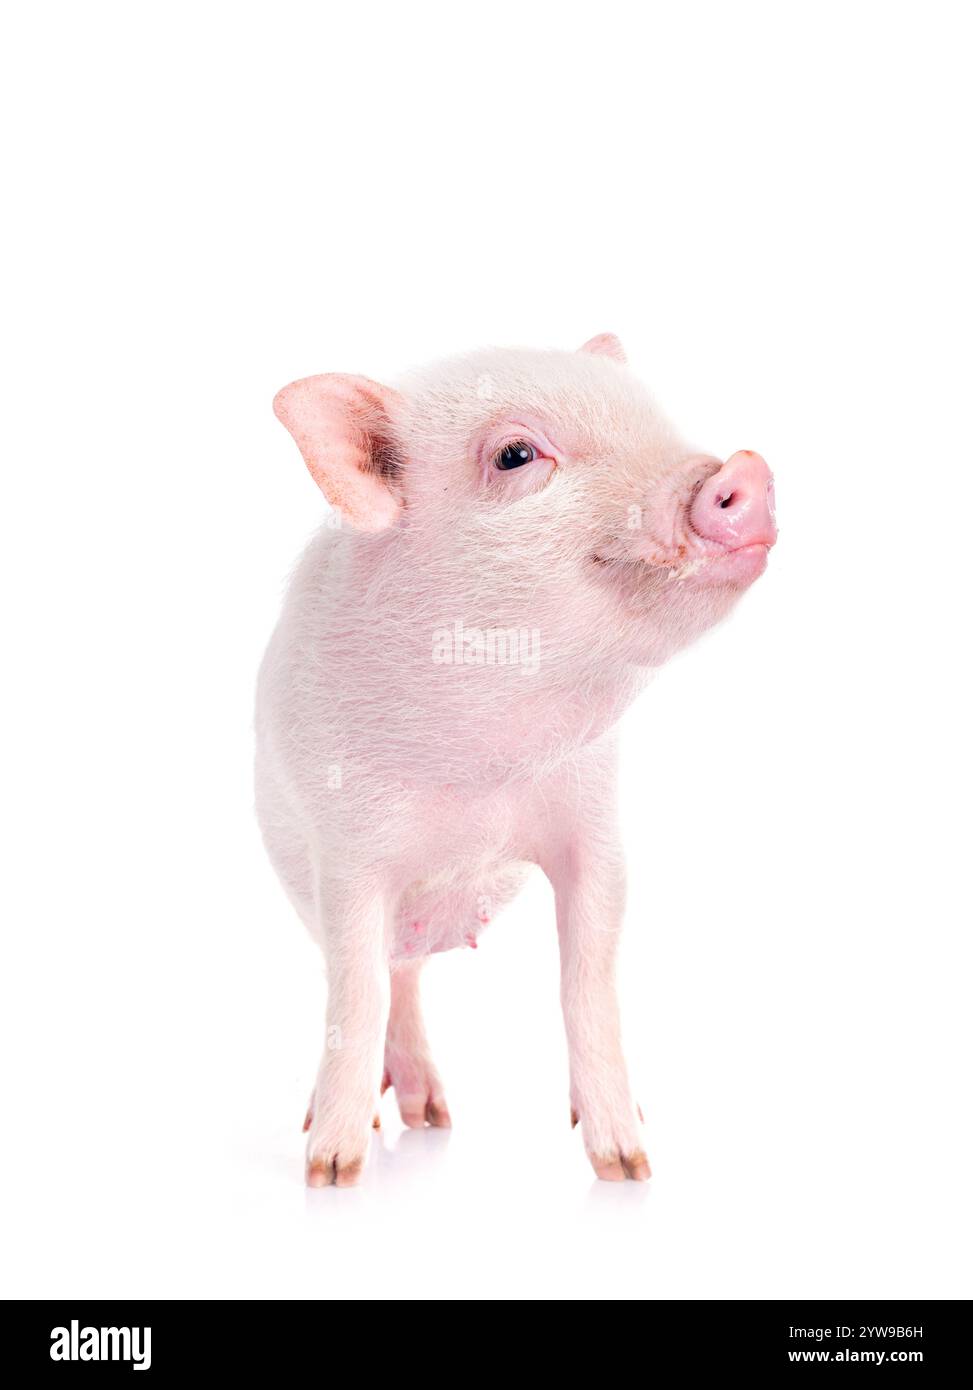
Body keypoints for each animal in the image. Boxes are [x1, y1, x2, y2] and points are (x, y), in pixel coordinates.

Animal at [255, 334, 777, 1186]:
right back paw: (406, 1118)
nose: (745, 469)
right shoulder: (345, 857)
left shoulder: (593, 830)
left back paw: (433, 1117)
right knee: (392, 977)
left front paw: (626, 1163)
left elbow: (587, 983)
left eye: (656, 422)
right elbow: (355, 997)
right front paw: (330, 1170)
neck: (478, 787)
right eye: (514, 455)